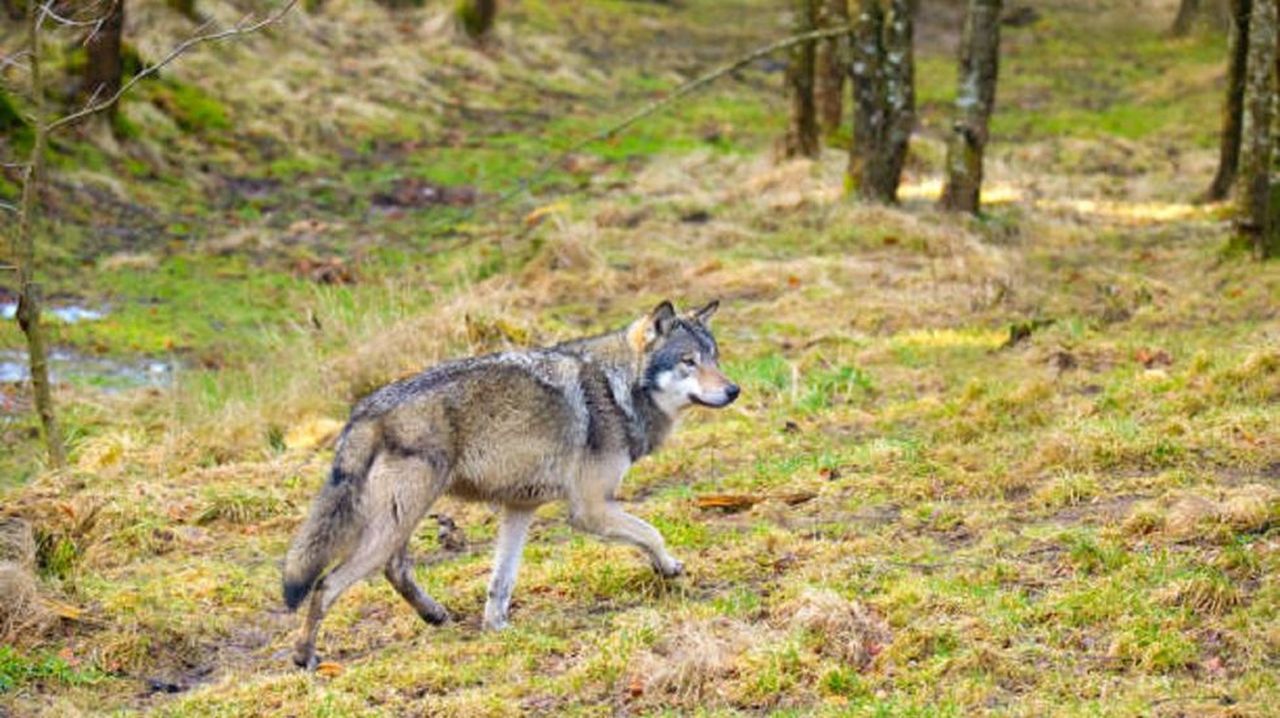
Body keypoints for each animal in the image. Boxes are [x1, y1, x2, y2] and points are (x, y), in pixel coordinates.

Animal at [281, 299, 739, 668]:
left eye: (714, 358)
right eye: (688, 361)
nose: (734, 389)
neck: (617, 388)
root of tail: (364, 411)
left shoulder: (520, 508)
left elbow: (500, 582)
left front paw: (498, 629)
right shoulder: (590, 509)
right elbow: (651, 533)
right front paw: (670, 568)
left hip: (400, 519)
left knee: (394, 569)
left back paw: (435, 615)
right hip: (399, 518)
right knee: (326, 584)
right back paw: (305, 656)